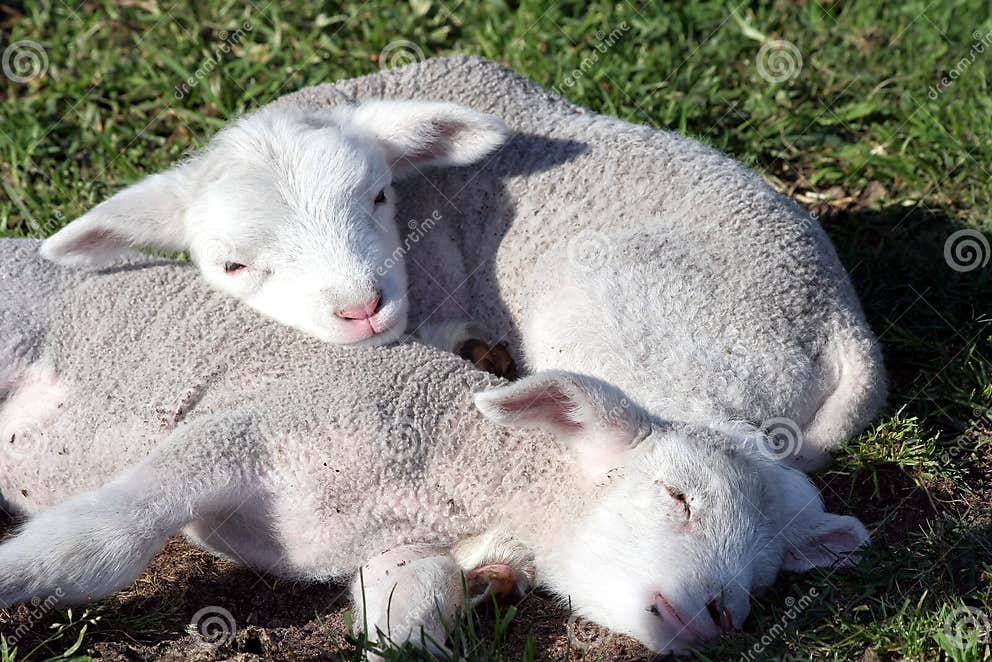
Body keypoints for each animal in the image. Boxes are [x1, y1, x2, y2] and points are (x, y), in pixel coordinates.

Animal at [0, 239, 870, 655]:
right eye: (678, 497)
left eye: (763, 577)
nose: (722, 614)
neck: (447, 465)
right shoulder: (245, 426)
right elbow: (98, 542)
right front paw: (15, 582)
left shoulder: (401, 548)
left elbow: (404, 622)